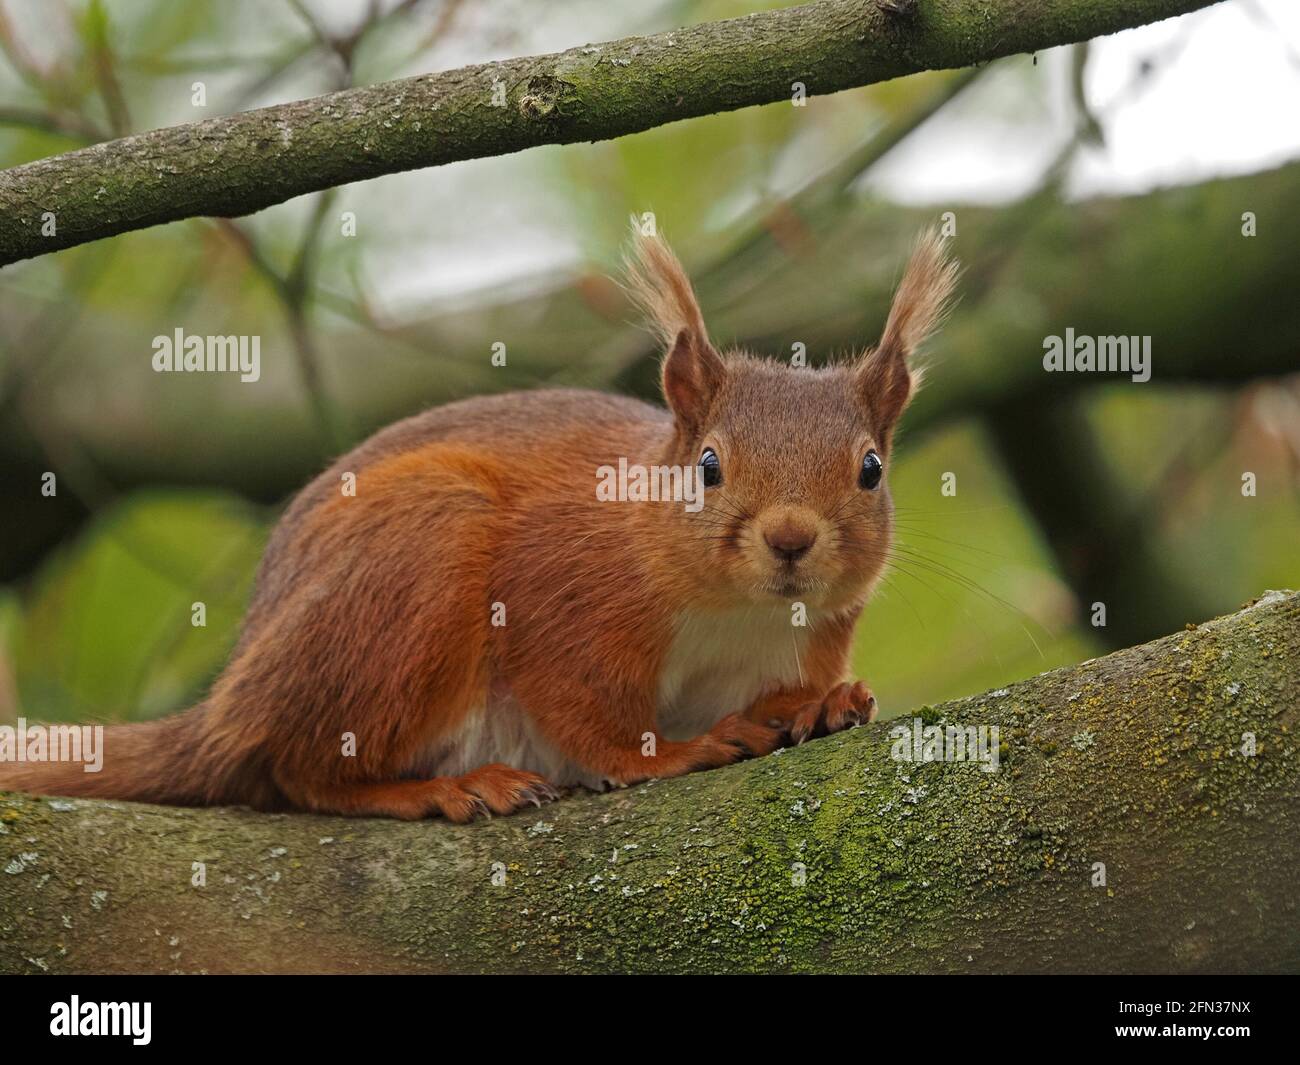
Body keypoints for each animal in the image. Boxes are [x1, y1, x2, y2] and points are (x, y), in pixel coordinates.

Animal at [0, 228, 956, 821]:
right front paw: (668, 754)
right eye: (709, 465)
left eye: (871, 470)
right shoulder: (560, 590)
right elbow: (588, 715)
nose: (792, 538)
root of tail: (232, 699)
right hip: (417, 567)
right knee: (295, 767)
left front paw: (826, 702)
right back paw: (437, 789)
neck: (736, 613)